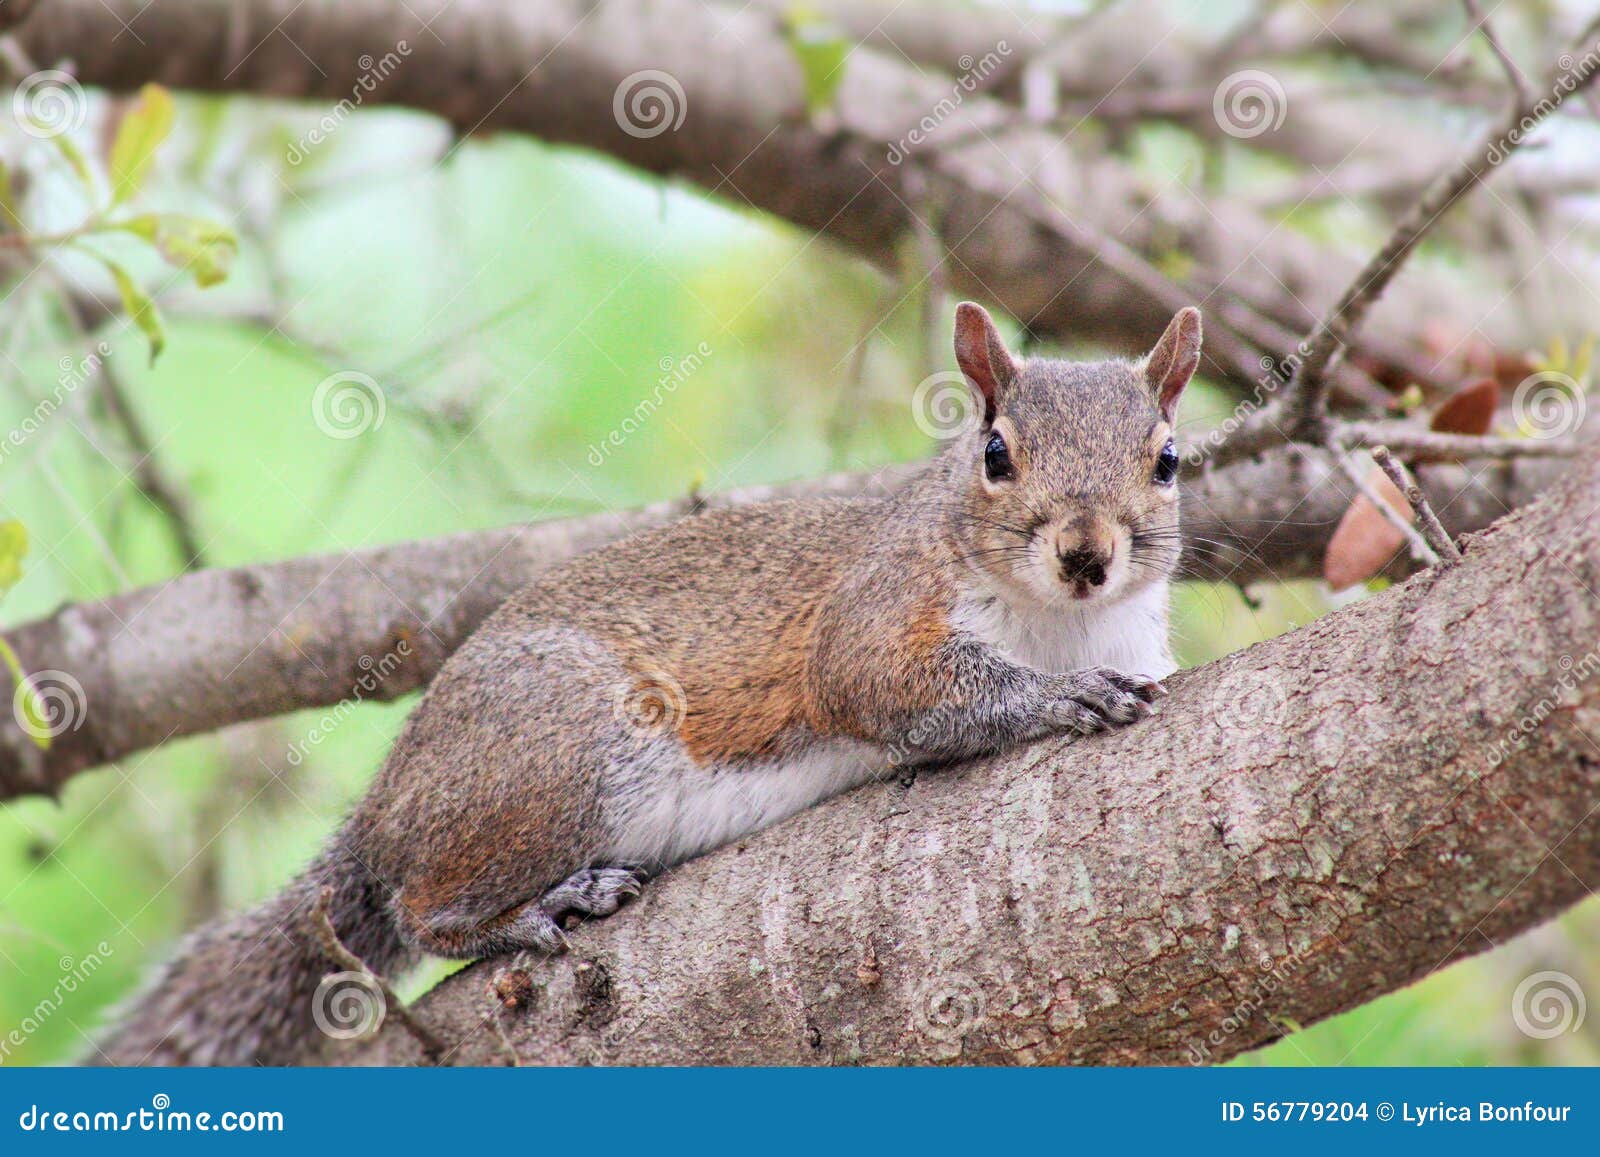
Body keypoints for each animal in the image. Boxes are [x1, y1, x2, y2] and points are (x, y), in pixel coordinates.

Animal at [95, 301, 1201, 1065]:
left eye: (1168, 460)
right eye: (995, 453)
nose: (1085, 553)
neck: (1061, 620)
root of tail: (381, 813)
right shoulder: (876, 616)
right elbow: (885, 686)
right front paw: (1058, 698)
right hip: (565, 750)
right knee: (423, 907)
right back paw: (539, 905)